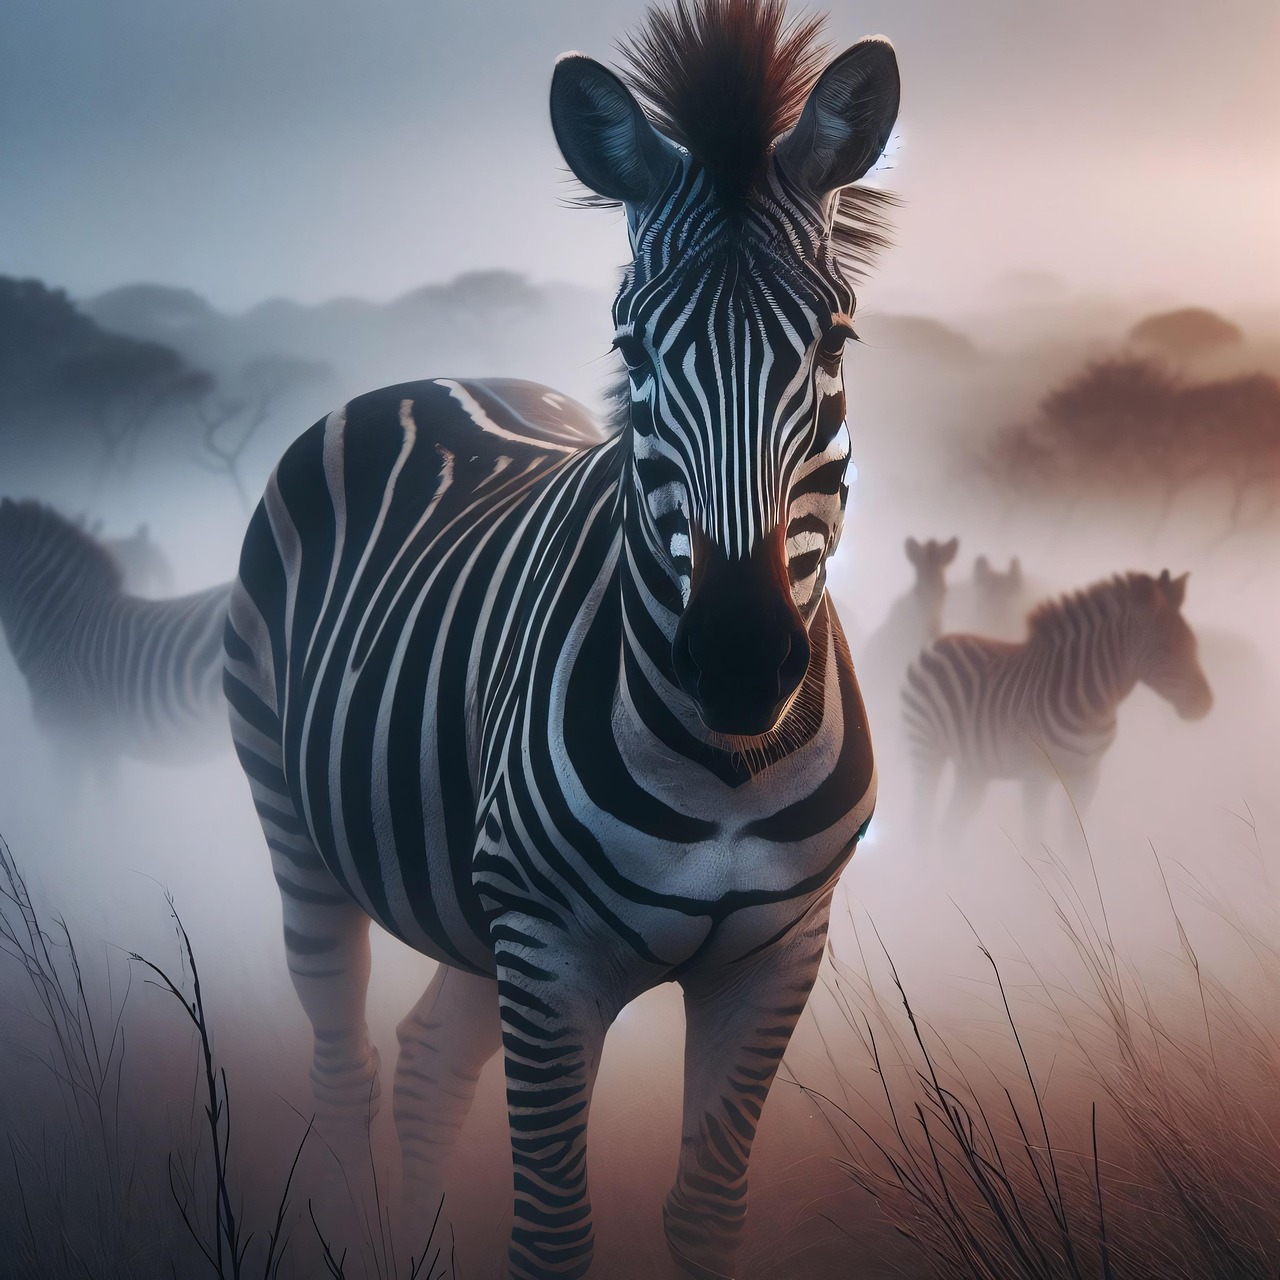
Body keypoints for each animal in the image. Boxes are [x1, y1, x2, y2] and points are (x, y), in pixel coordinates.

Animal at [221, 3, 898, 1276]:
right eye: (632, 351)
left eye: (833, 342)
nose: (740, 660)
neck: (726, 768)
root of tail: (438, 374)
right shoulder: (546, 949)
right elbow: (550, 1230)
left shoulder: (772, 951)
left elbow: (704, 1207)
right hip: (302, 831)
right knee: (345, 1070)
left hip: (462, 896)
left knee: (427, 1060)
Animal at [903, 570, 1213, 844]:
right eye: (1165, 649)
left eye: (1194, 643)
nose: (1207, 704)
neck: (1096, 707)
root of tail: (938, 642)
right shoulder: (1036, 778)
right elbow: (1035, 845)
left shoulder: (1087, 777)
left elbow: (1076, 845)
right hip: (925, 748)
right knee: (921, 820)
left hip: (973, 767)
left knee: (949, 831)